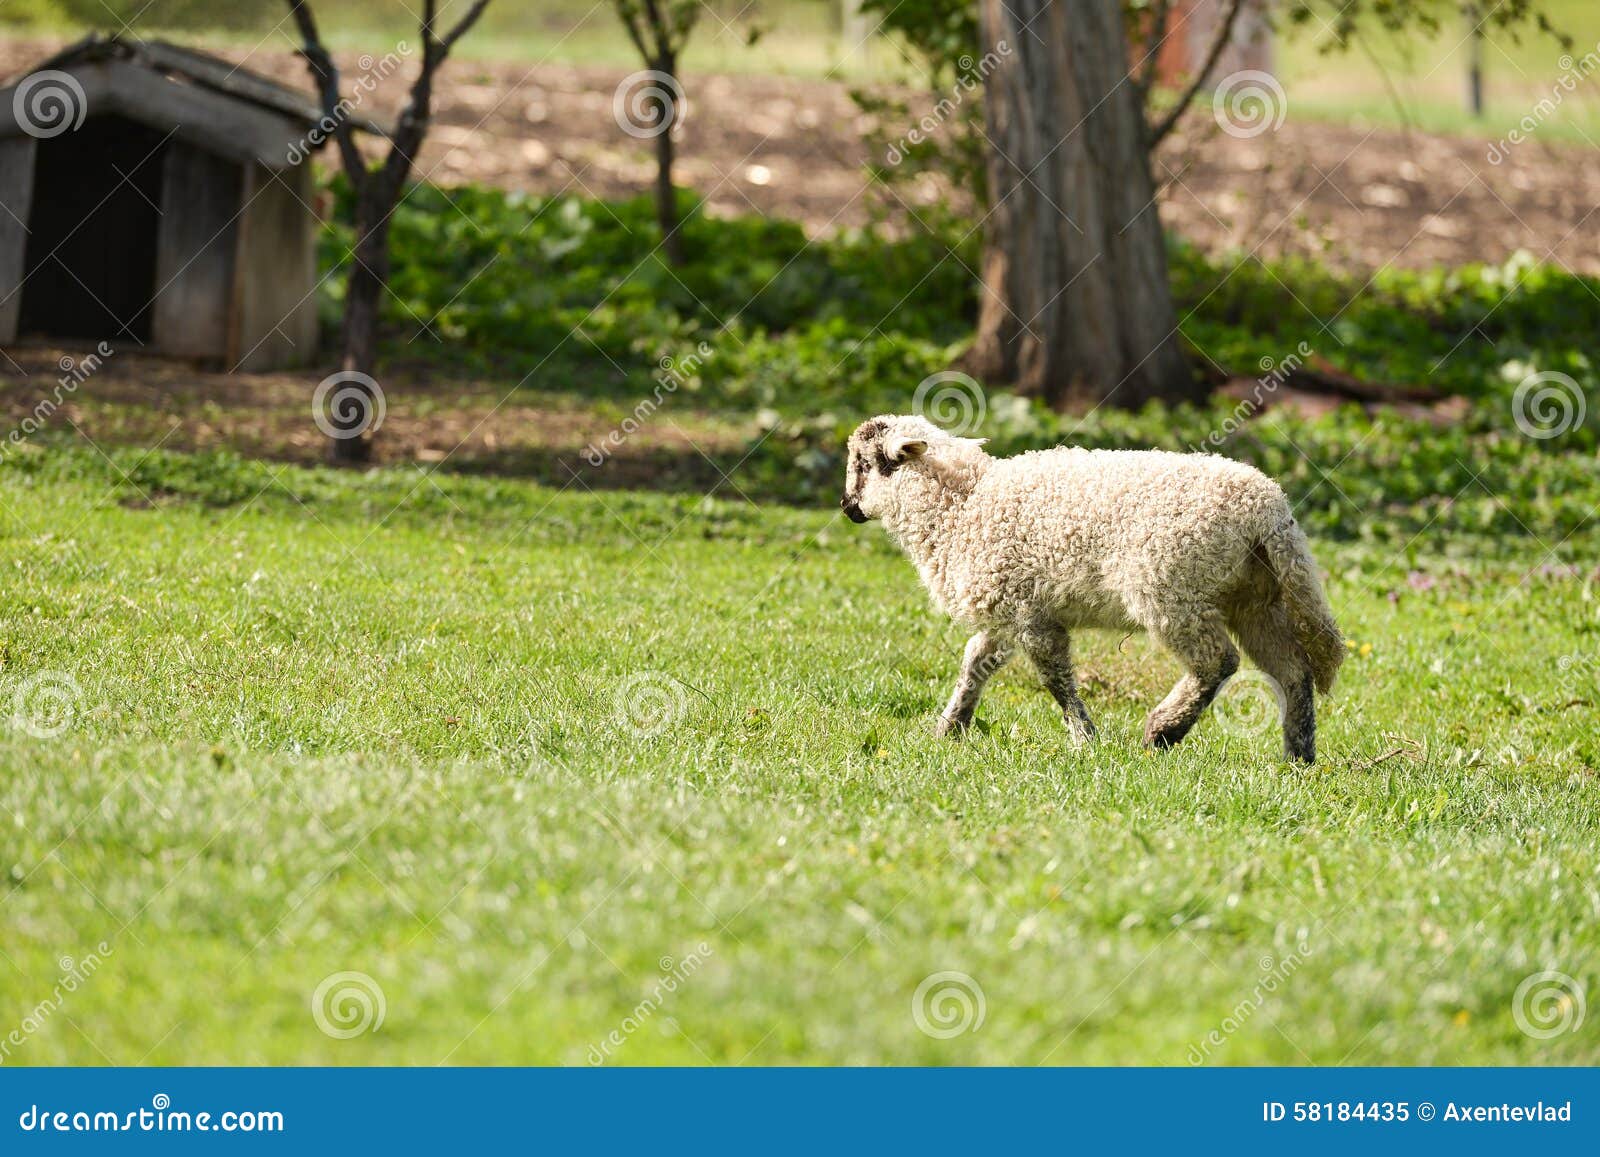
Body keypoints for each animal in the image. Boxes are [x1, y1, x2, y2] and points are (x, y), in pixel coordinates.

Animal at [840, 414, 1344, 763]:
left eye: (864, 464)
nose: (845, 507)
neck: (961, 506)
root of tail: (1268, 508)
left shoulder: (1029, 614)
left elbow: (1054, 678)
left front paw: (1085, 738)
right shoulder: (1008, 606)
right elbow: (975, 664)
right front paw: (950, 728)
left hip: (1172, 588)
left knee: (1217, 661)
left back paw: (1162, 732)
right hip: (1255, 597)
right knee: (1293, 671)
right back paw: (1298, 757)